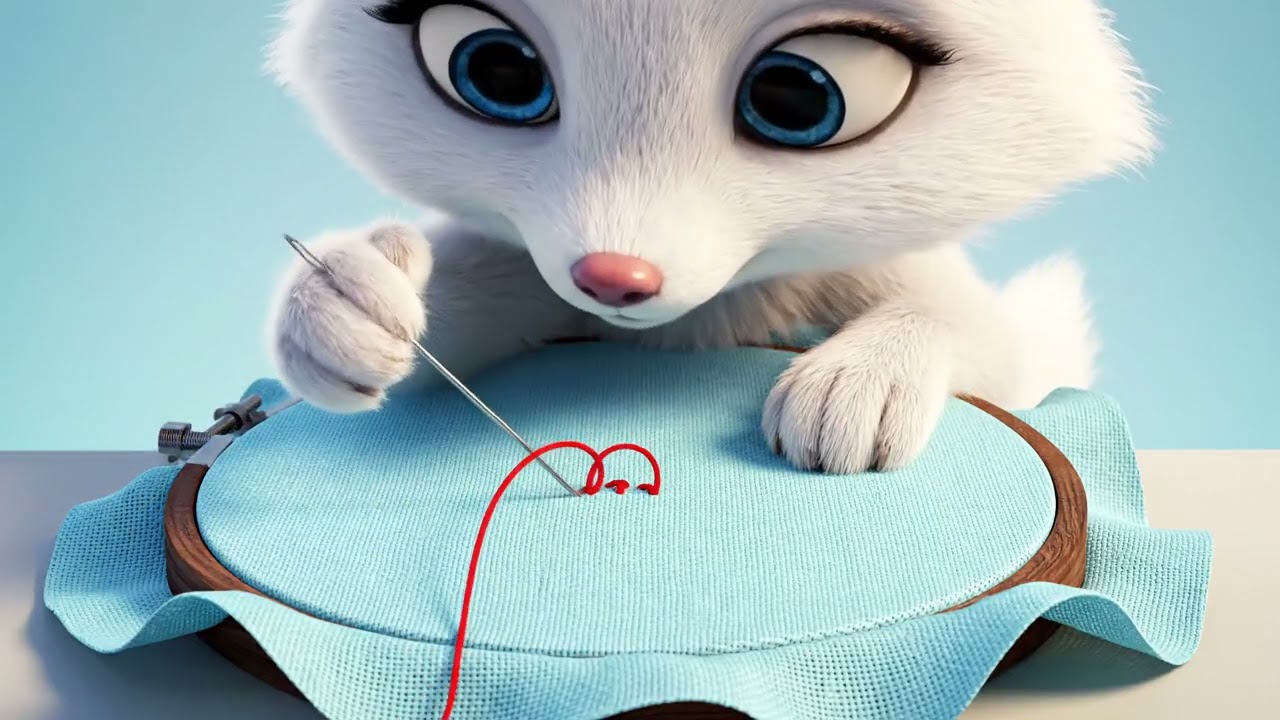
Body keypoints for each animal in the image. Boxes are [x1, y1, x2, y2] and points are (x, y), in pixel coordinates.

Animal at [264, 0, 1154, 474]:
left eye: (796, 97)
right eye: (499, 73)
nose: (614, 276)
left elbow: (985, 339)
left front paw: (860, 377)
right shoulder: (540, 283)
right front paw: (346, 303)